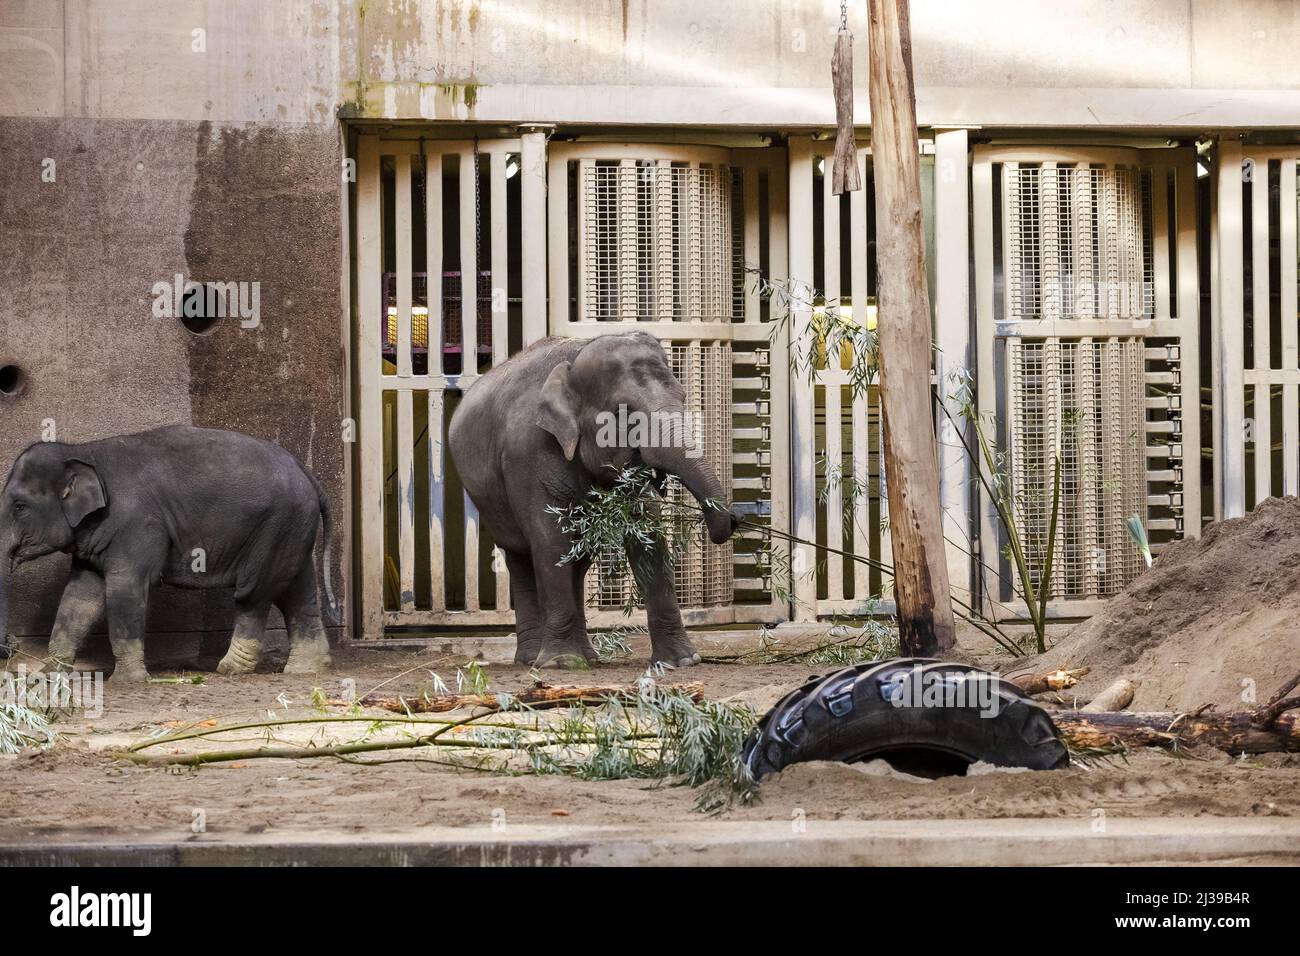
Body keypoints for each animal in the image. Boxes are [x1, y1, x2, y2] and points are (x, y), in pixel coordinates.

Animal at [0, 425, 336, 681]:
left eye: (19, 507)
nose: (11, 649)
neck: (83, 451)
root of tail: (307, 472)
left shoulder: (138, 524)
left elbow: (125, 589)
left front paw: (128, 681)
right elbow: (80, 596)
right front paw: (48, 675)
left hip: (275, 526)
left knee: (254, 593)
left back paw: (230, 669)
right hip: (293, 528)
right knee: (297, 590)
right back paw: (308, 669)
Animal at [448, 331, 740, 669]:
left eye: (682, 398)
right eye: (624, 412)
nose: (734, 520)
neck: (576, 357)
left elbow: (647, 534)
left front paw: (681, 662)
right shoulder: (526, 454)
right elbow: (551, 540)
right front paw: (561, 663)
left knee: (578, 561)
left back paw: (584, 657)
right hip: (491, 502)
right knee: (521, 557)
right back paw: (537, 660)